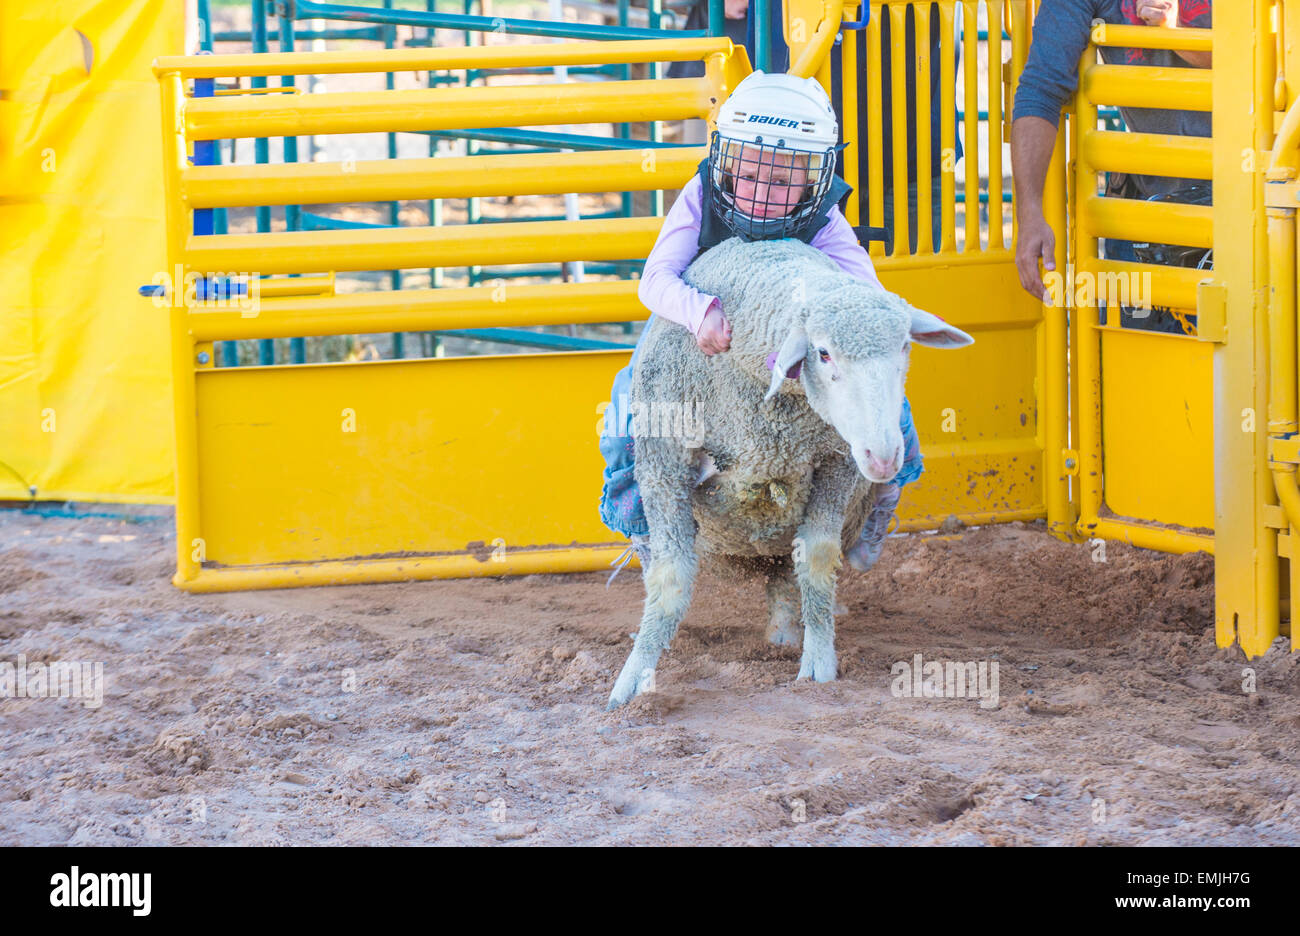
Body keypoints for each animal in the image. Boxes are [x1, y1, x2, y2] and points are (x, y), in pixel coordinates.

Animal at [607, 236, 973, 709]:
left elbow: (816, 560)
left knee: (785, 569)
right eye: (823, 353)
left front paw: (819, 660)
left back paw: (785, 630)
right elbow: (670, 580)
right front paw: (634, 679)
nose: (882, 457)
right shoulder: (663, 464)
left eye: (905, 348)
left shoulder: (837, 462)